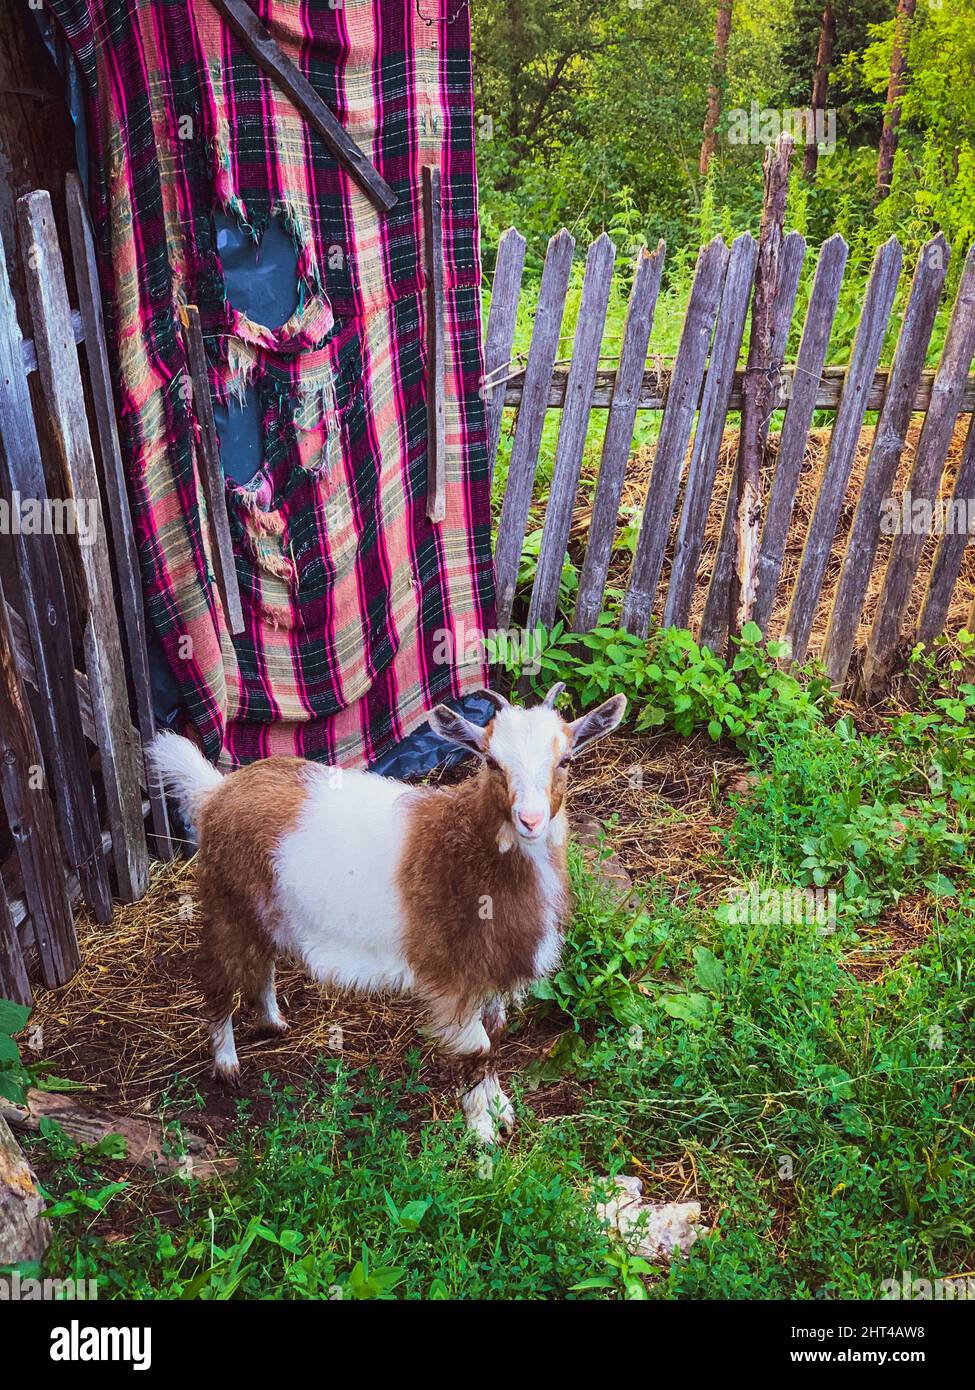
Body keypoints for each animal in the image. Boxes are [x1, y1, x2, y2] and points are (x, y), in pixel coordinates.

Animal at [148, 685, 626, 1141]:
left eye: (566, 759)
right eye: (491, 761)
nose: (530, 820)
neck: (472, 848)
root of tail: (215, 791)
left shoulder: (492, 971)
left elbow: (497, 1037)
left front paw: (501, 1110)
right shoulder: (454, 975)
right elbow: (477, 1048)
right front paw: (483, 1133)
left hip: (265, 908)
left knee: (262, 963)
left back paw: (272, 1021)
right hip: (225, 901)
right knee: (217, 979)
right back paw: (226, 1064)